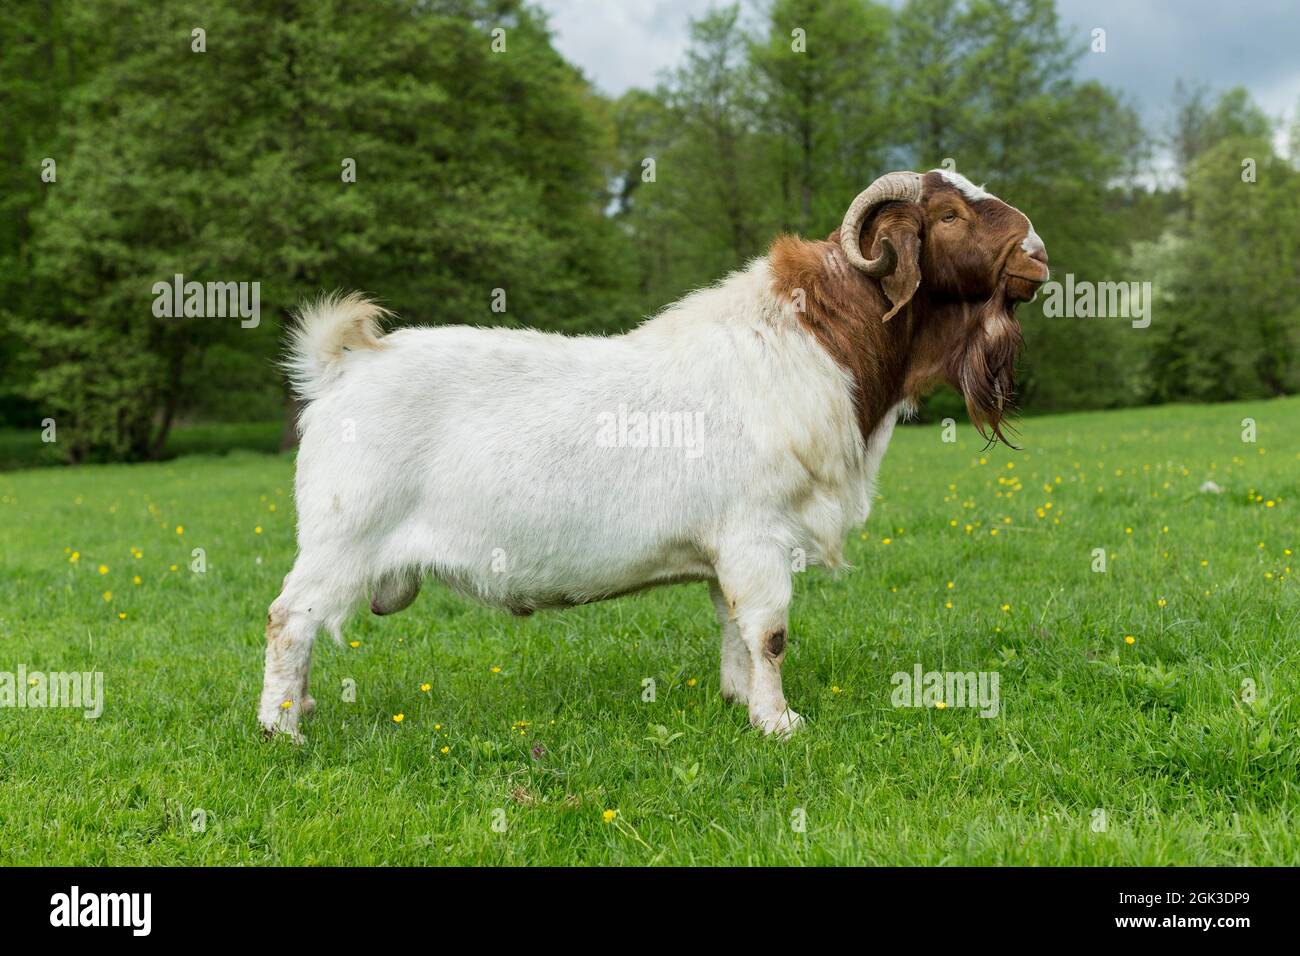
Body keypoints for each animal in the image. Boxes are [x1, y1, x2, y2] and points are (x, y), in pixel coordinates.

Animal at [259, 169, 1049, 741]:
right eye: (949, 216)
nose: (1037, 253)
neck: (813, 345)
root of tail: (343, 364)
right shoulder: (757, 535)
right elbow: (770, 633)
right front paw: (781, 723)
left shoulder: (728, 551)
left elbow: (734, 629)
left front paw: (738, 702)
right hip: (342, 538)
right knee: (288, 618)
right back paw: (283, 730)